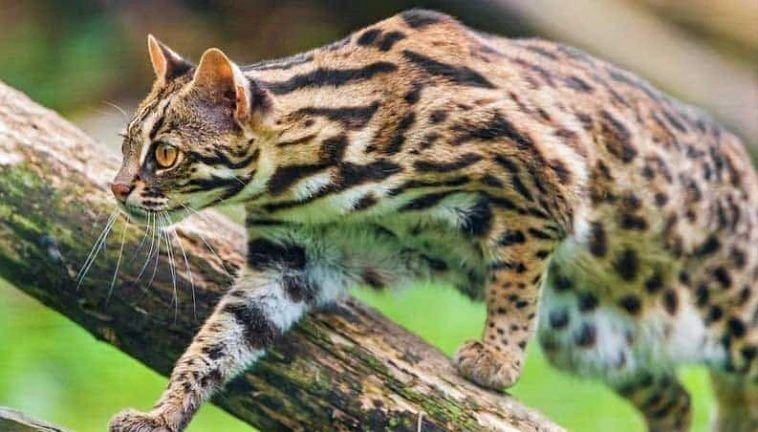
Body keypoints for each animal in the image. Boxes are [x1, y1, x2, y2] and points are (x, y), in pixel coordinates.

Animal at [107, 9, 757, 432]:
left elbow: (515, 283)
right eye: (125, 145)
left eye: (165, 154)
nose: (116, 188)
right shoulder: (289, 261)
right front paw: (164, 412)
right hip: (590, 340)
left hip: (732, 317)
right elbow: (219, 340)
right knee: (677, 398)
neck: (308, 181)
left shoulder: (542, 191)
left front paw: (496, 360)